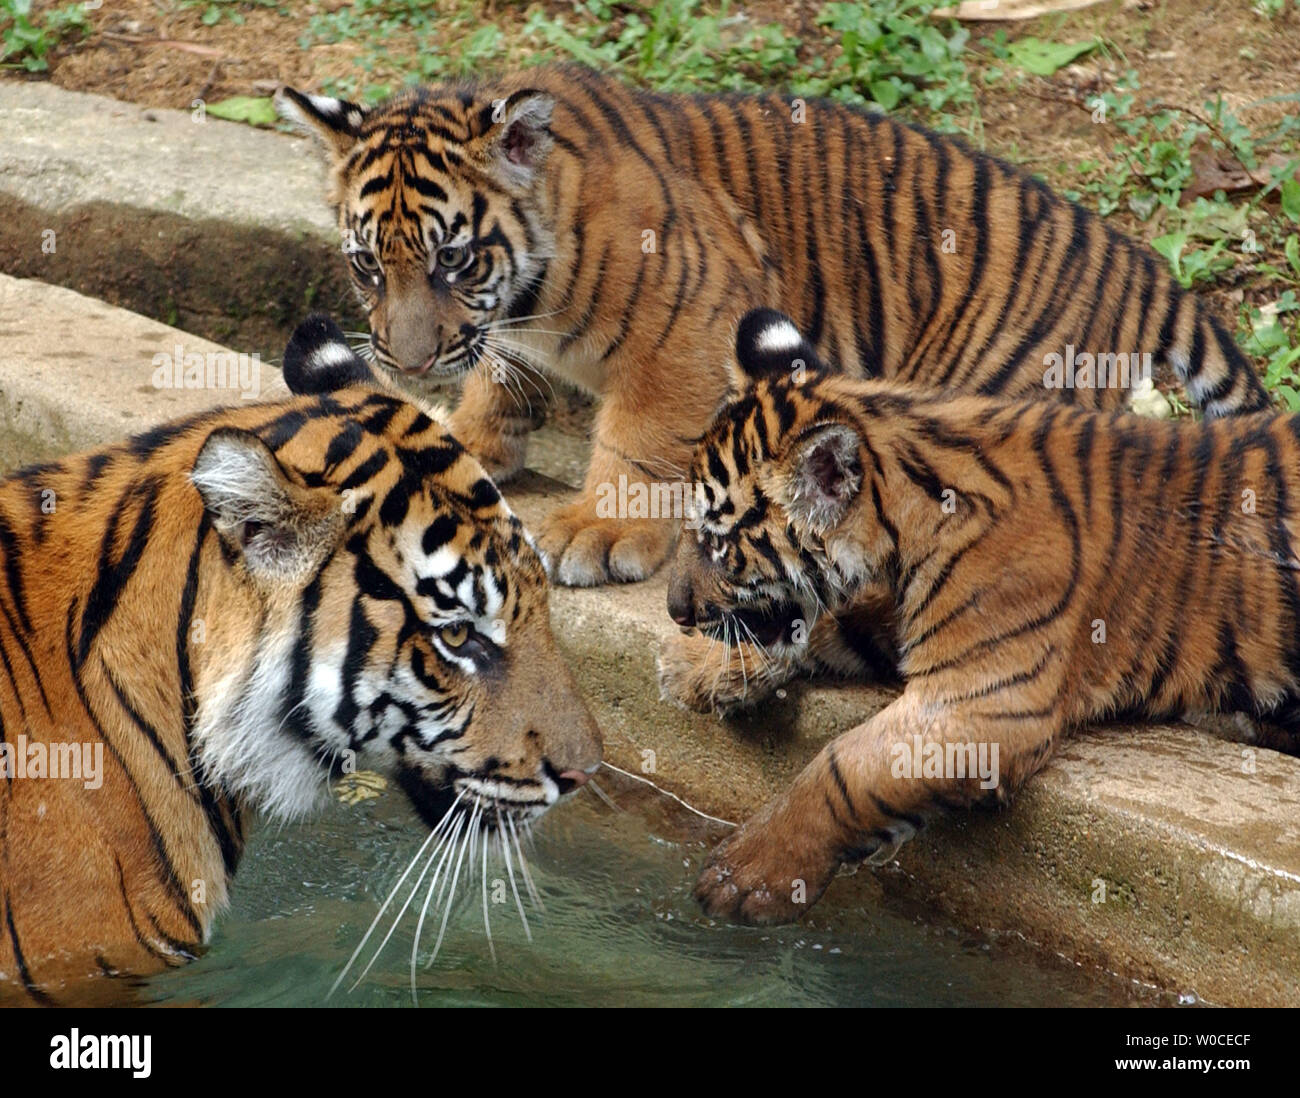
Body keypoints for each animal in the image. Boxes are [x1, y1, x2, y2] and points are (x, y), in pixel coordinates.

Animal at [274, 64, 1268, 591]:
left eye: (454, 260)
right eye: (368, 266)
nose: (407, 364)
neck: (529, 291)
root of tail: (1144, 263)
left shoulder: (689, 318)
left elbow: (641, 436)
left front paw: (600, 529)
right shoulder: (506, 336)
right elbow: (496, 378)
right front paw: (462, 438)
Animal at [670, 308, 1299, 925]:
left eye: (717, 541)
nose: (675, 610)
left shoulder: (985, 697)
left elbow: (843, 768)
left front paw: (745, 874)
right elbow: (832, 621)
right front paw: (701, 668)